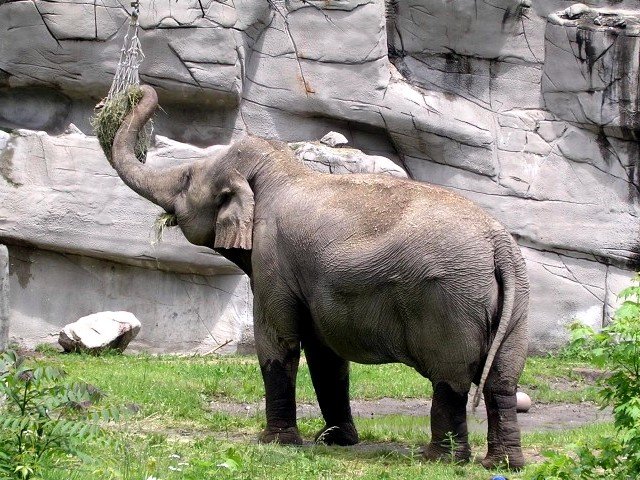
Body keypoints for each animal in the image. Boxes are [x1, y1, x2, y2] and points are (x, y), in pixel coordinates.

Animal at [103, 85, 529, 469]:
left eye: (188, 179)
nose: (138, 89)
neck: (279, 171)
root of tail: (499, 245)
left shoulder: (273, 261)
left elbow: (277, 343)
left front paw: (276, 442)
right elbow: (327, 356)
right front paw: (336, 442)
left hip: (449, 300)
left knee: (451, 377)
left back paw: (440, 460)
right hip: (516, 300)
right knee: (502, 380)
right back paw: (503, 464)